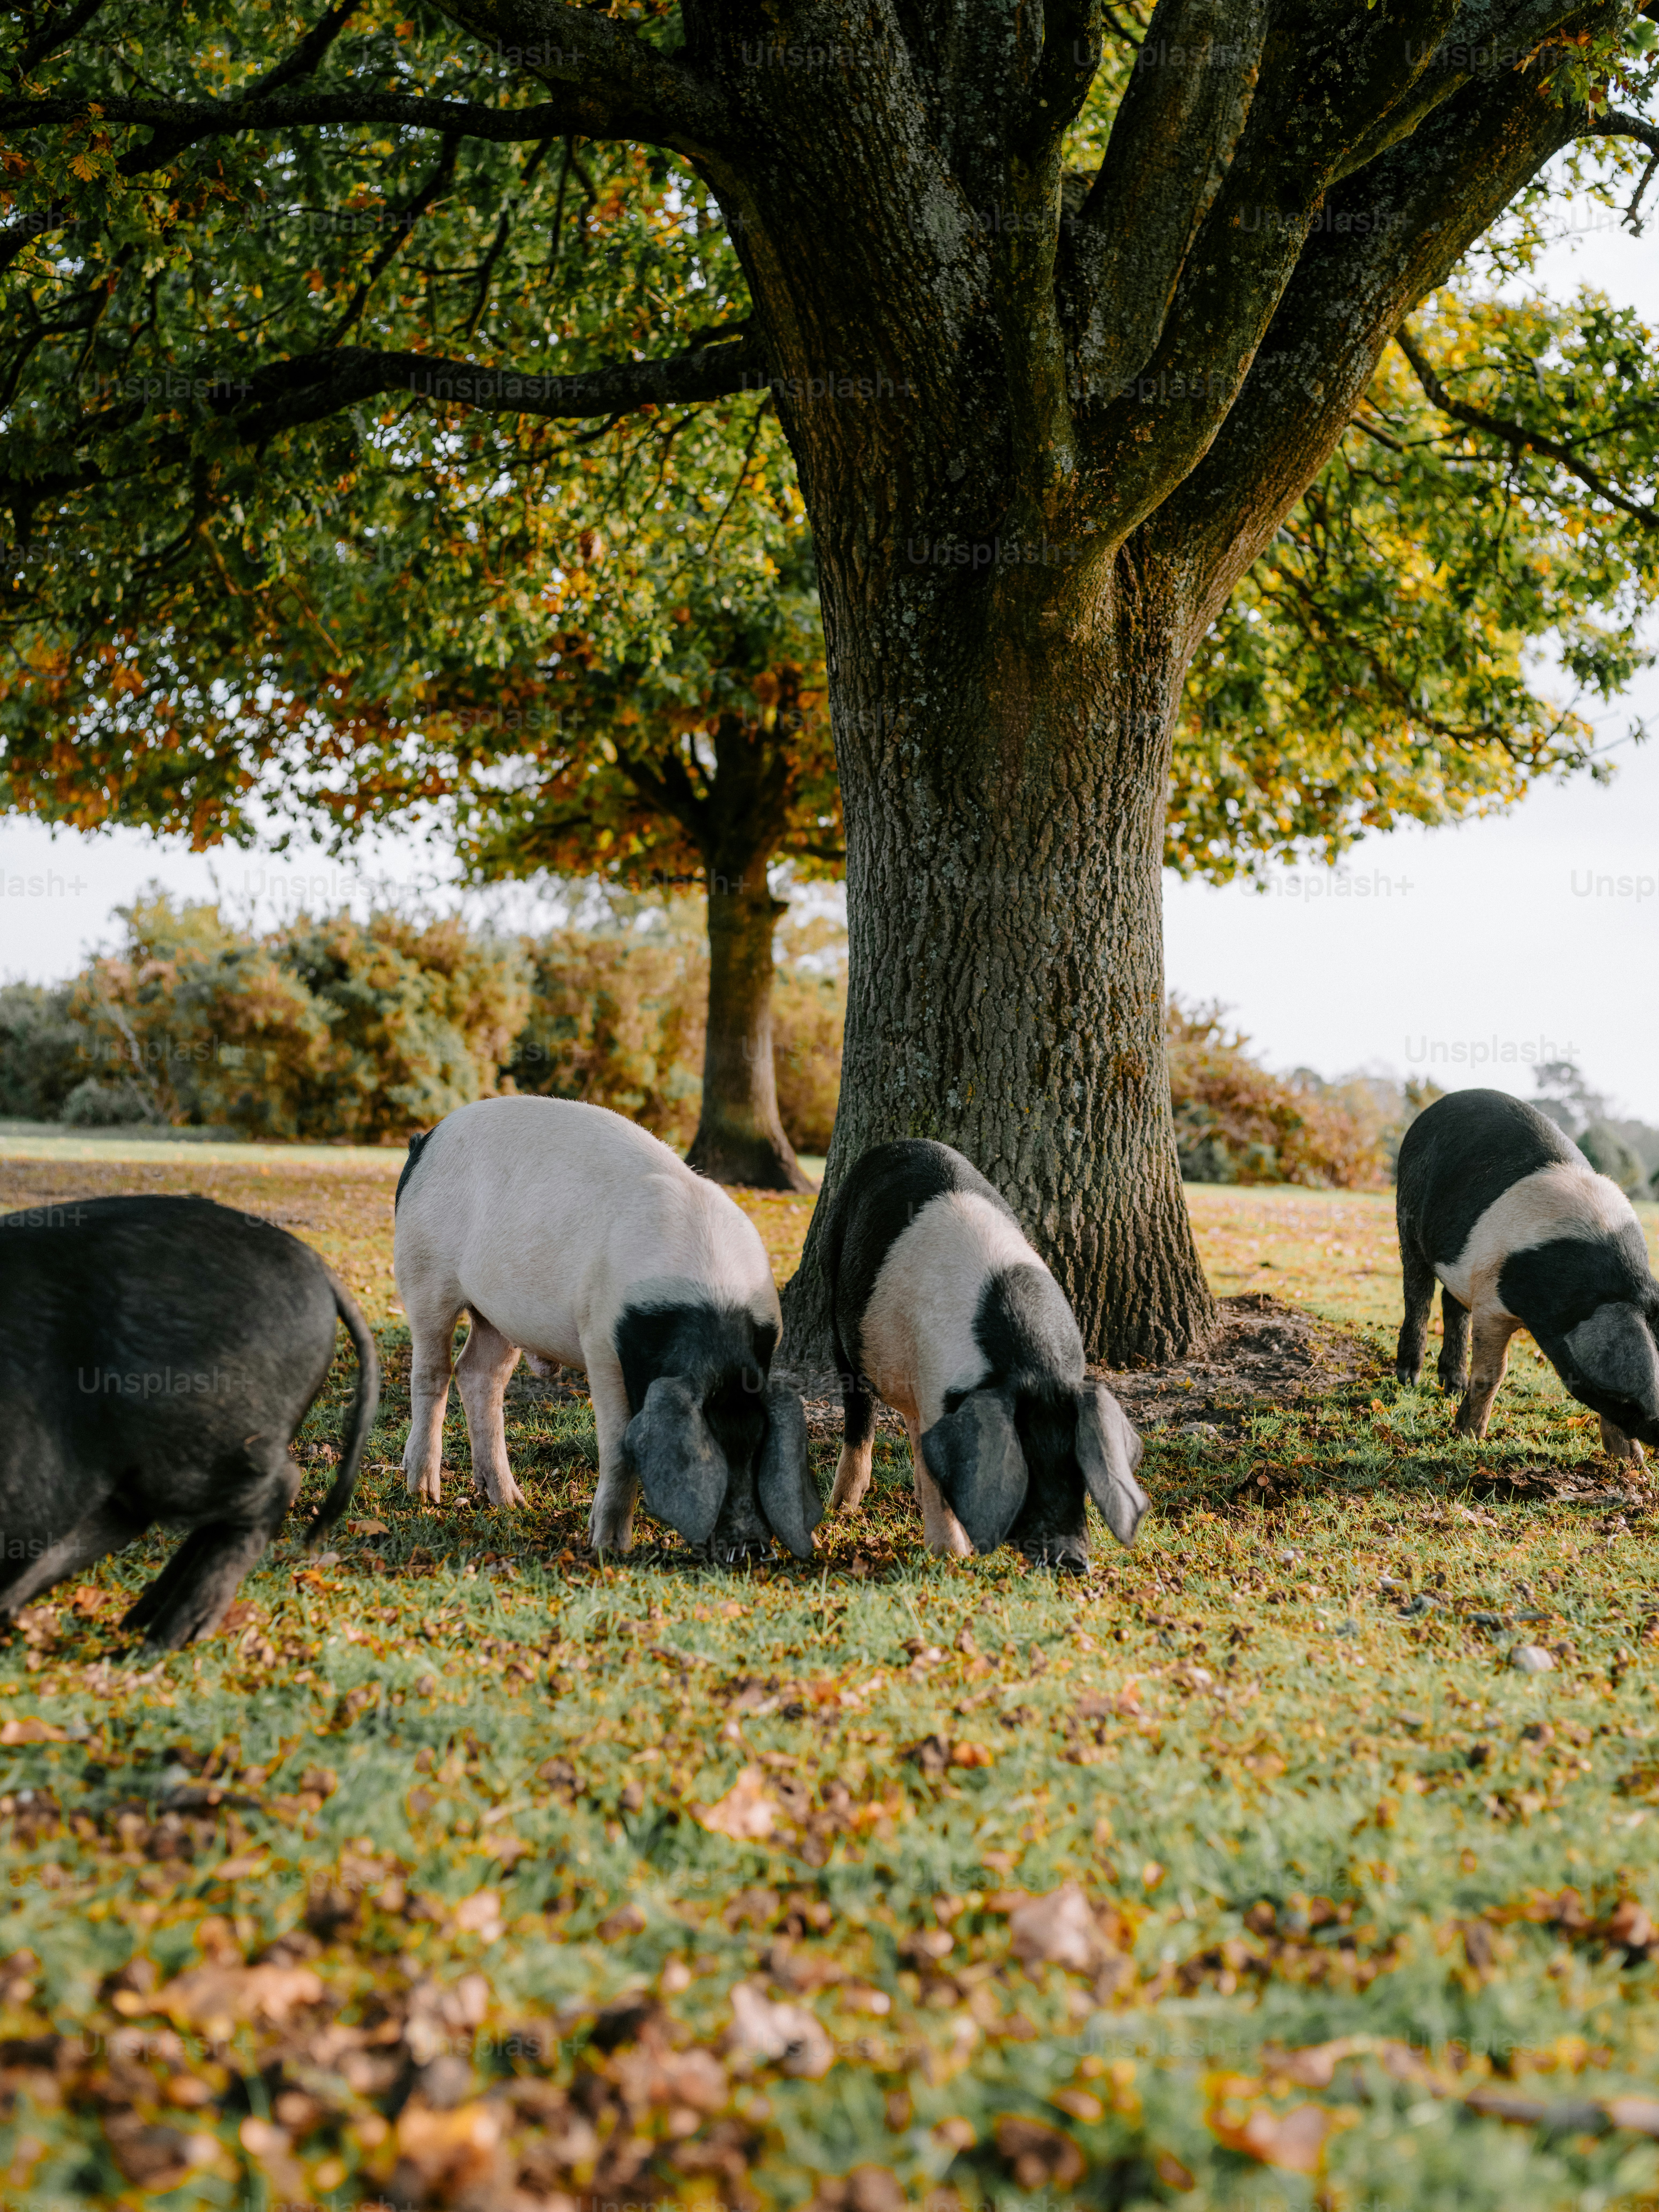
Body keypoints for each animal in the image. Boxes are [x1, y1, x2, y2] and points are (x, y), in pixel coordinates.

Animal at [392, 1096, 819, 1560]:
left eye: (759, 1453)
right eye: (707, 1458)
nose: (752, 1549)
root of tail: (425, 1141)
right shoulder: (600, 1338)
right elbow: (618, 1446)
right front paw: (609, 1548)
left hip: (499, 1314)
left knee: (479, 1374)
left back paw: (510, 1503)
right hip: (423, 1271)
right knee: (432, 1372)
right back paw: (424, 1493)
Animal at [821, 1139, 1149, 1565]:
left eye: (1080, 1472)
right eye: (1019, 1473)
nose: (1072, 1560)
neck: (1030, 1368)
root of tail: (904, 1142)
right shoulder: (939, 1389)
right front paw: (953, 1558)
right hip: (834, 1286)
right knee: (859, 1407)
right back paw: (842, 1508)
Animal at [1395, 1087, 1659, 1460]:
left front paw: (1633, 1463)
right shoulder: (1492, 1299)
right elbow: (1493, 1373)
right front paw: (1468, 1437)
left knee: (1453, 1304)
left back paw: (1452, 1386)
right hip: (1407, 1216)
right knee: (1418, 1292)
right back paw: (1410, 1379)